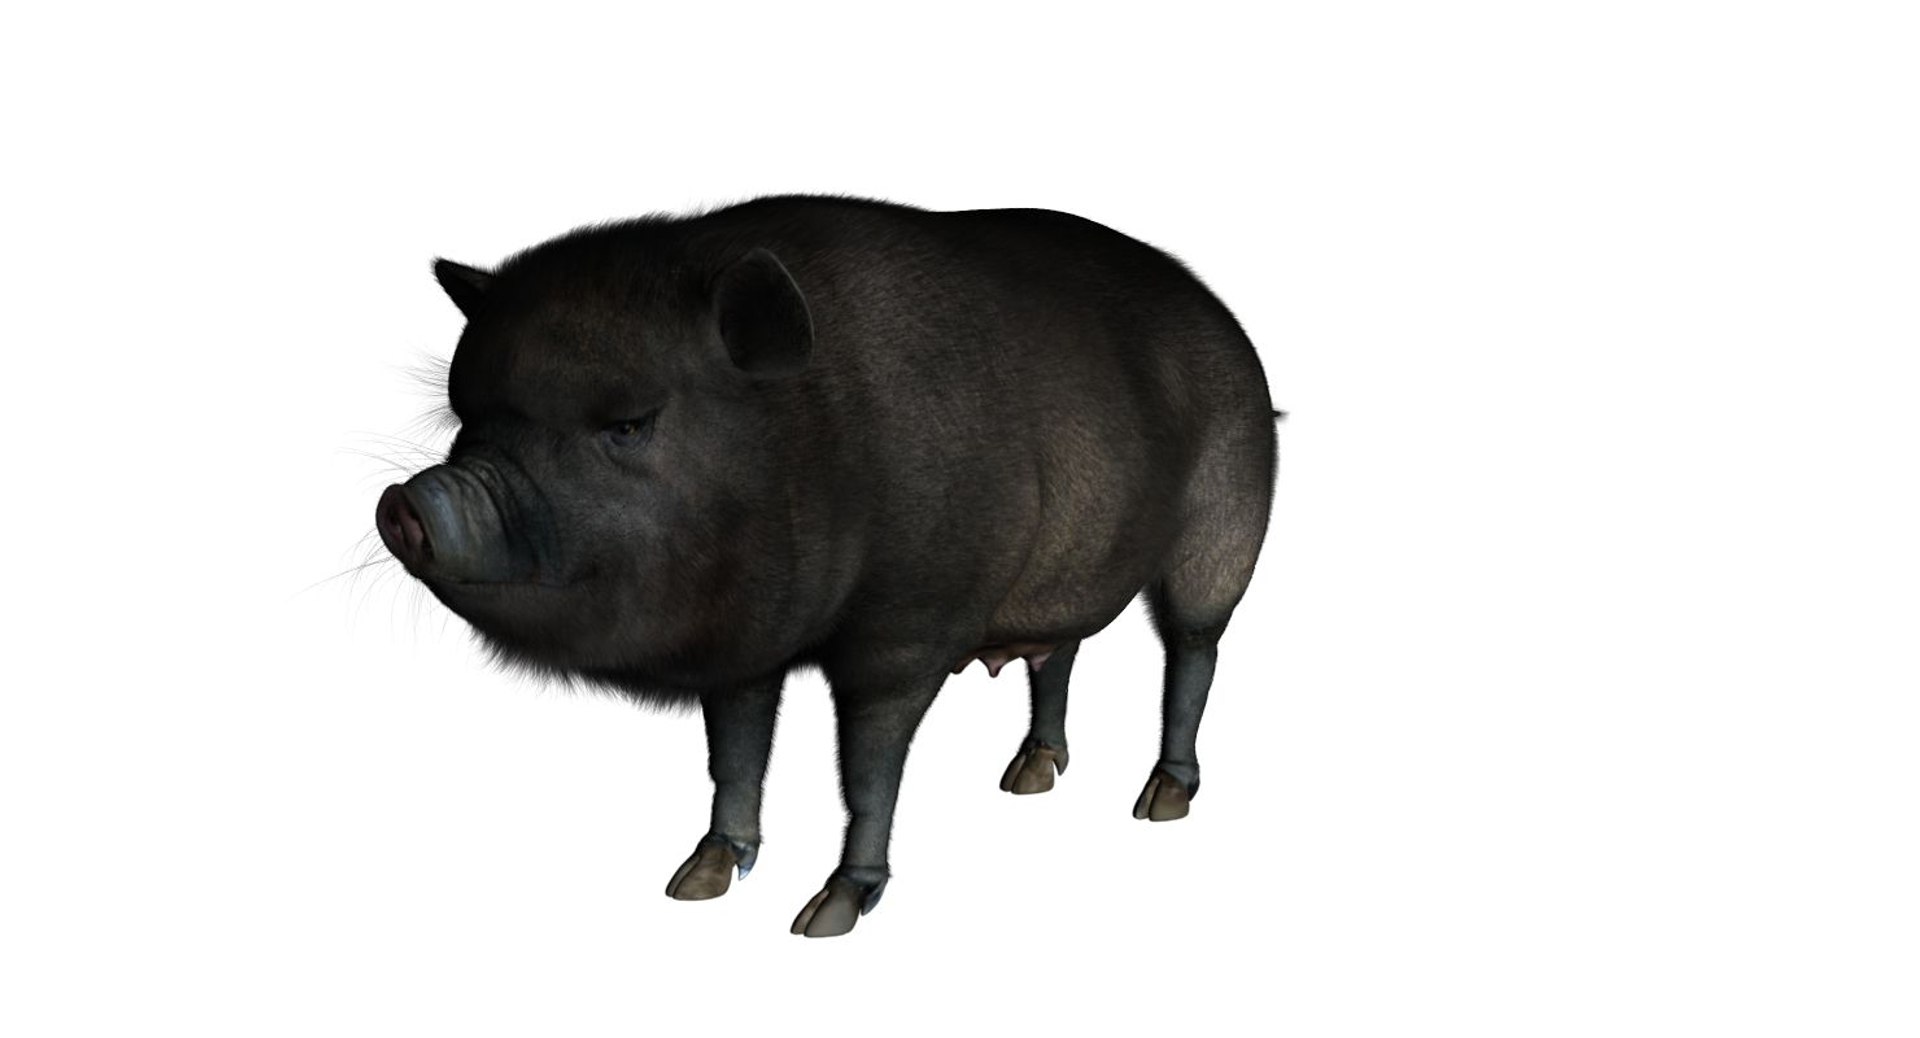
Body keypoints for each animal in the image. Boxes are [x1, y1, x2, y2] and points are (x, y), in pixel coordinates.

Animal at [375, 195, 1278, 936]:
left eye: (627, 425)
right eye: (466, 420)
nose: (405, 504)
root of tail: (1232, 331)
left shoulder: (905, 633)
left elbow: (867, 768)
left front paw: (826, 915)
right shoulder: (744, 651)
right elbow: (736, 751)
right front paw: (694, 882)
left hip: (1226, 529)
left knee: (1193, 652)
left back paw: (1160, 804)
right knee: (1058, 656)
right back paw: (1027, 779)